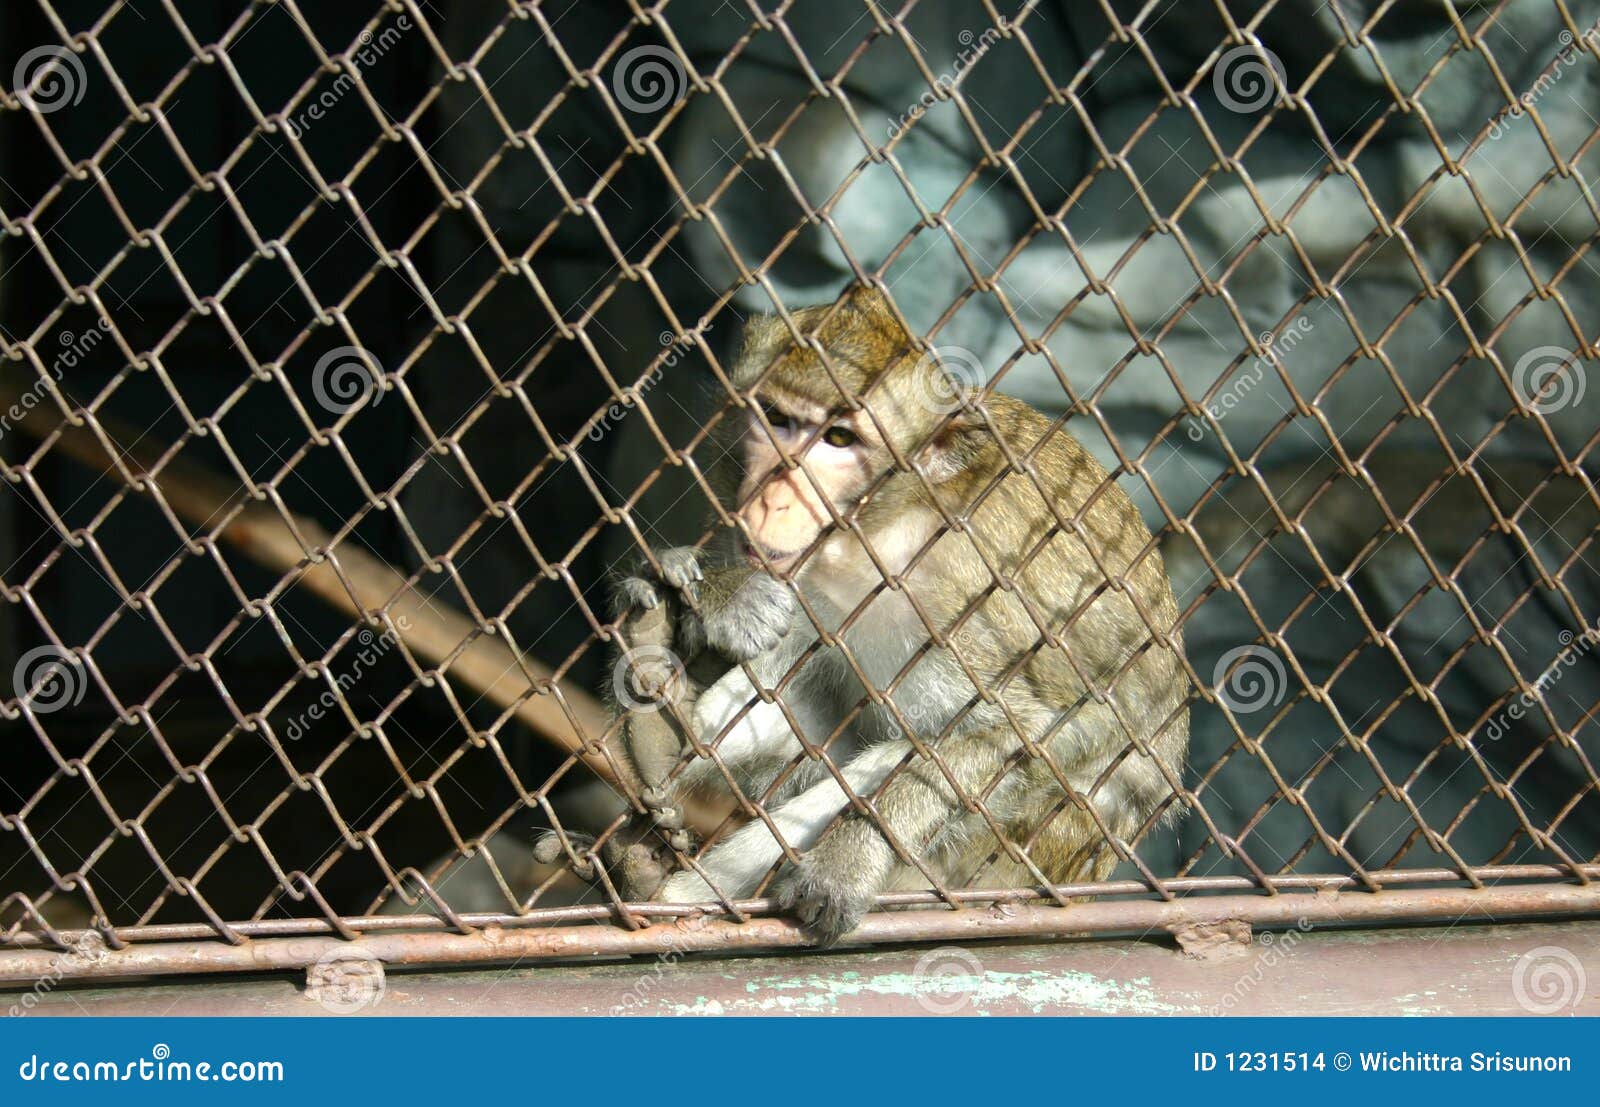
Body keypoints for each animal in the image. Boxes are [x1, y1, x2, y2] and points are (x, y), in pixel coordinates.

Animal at [605, 286, 1190, 942]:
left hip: (1026, 852)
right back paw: (658, 743)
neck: (881, 525)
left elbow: (1035, 730)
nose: (773, 497)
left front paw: (847, 862)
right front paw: (711, 591)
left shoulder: (972, 594)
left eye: (838, 439)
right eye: (776, 418)